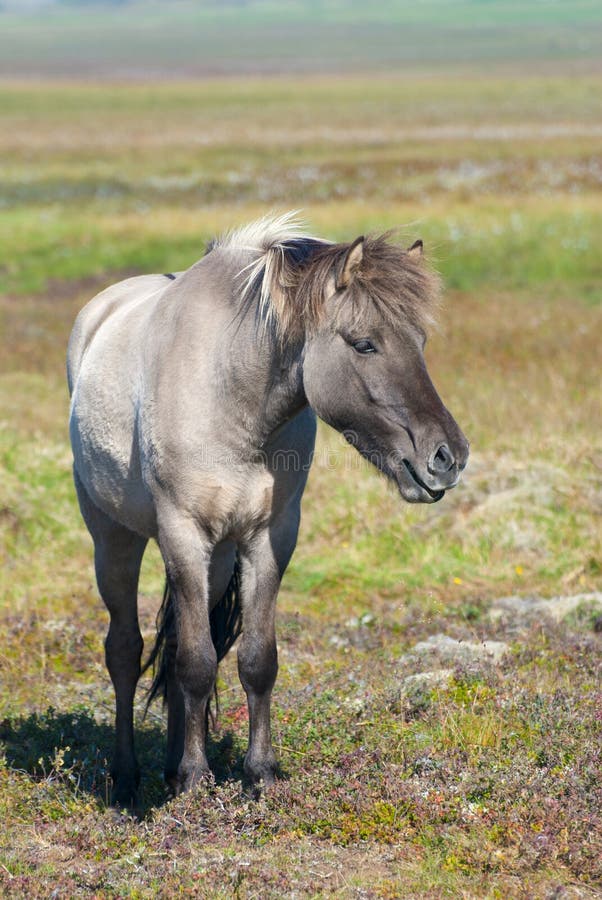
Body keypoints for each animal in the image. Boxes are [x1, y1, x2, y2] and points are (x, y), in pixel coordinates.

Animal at [67, 212, 469, 809]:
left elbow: (253, 660)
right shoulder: (183, 533)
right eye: (365, 344)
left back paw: (170, 767)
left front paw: (257, 775)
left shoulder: (270, 536)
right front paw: (196, 781)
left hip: (214, 559)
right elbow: (195, 663)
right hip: (114, 537)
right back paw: (127, 777)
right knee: (124, 650)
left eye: (419, 341)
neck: (232, 401)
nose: (448, 457)